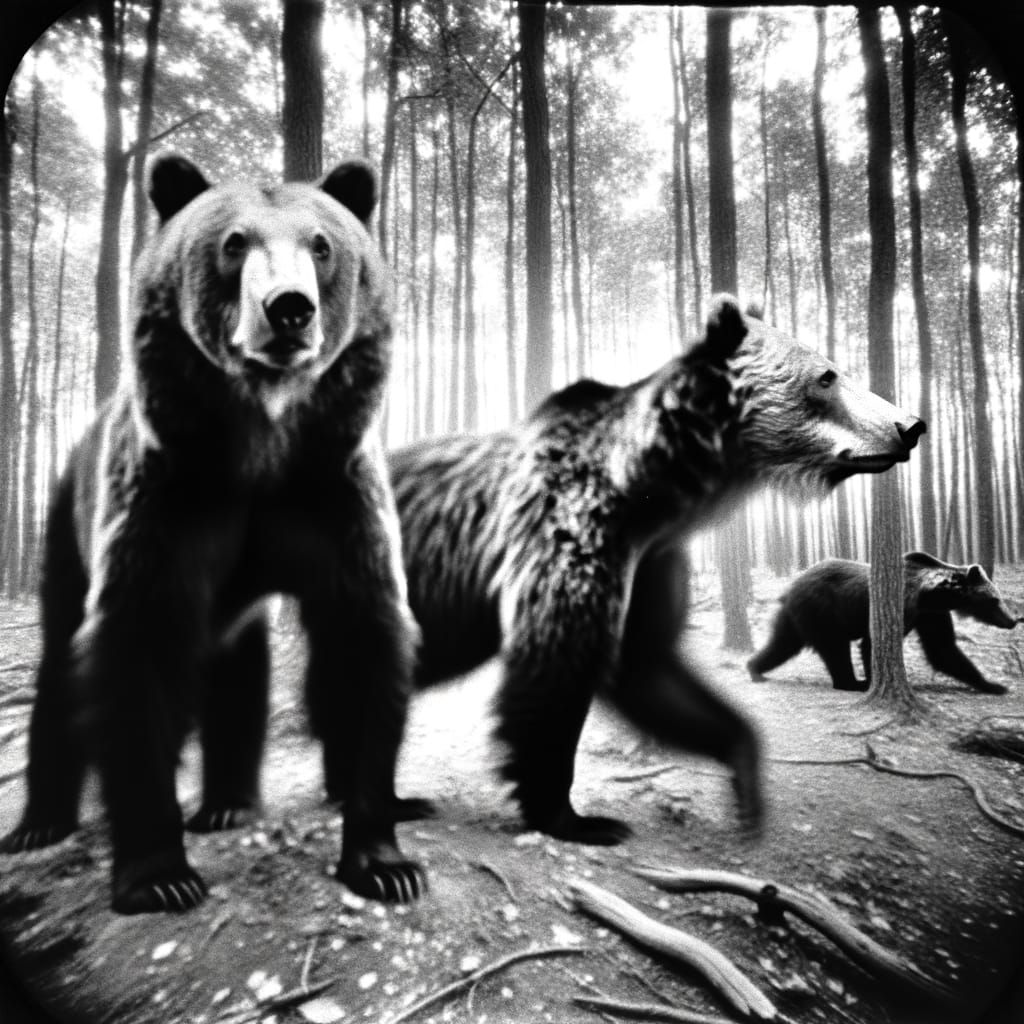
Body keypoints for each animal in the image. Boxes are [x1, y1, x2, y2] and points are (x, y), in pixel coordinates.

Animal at [0, 154, 425, 913]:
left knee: (239, 666)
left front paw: (384, 861)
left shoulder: (333, 493)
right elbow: (134, 649)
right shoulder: (166, 496)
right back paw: (40, 823)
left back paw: (227, 802)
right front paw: (160, 875)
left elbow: (364, 642)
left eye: (322, 244)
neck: (262, 439)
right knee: (59, 656)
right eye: (233, 243)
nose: (289, 307)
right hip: (67, 523)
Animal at [370, 295, 925, 844]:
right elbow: (558, 666)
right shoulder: (573, 529)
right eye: (827, 375)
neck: (649, 489)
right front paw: (574, 816)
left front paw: (746, 781)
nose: (910, 426)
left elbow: (647, 667)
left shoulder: (651, 560)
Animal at [747, 552, 1018, 693]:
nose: (1013, 620)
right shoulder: (905, 607)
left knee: (782, 644)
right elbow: (872, 642)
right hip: (822, 610)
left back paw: (755, 669)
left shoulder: (930, 615)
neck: (933, 594)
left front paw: (992, 684)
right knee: (834, 648)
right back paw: (851, 682)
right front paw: (871, 680)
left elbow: (943, 649)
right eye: (994, 599)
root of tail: (790, 586)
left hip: (795, 616)